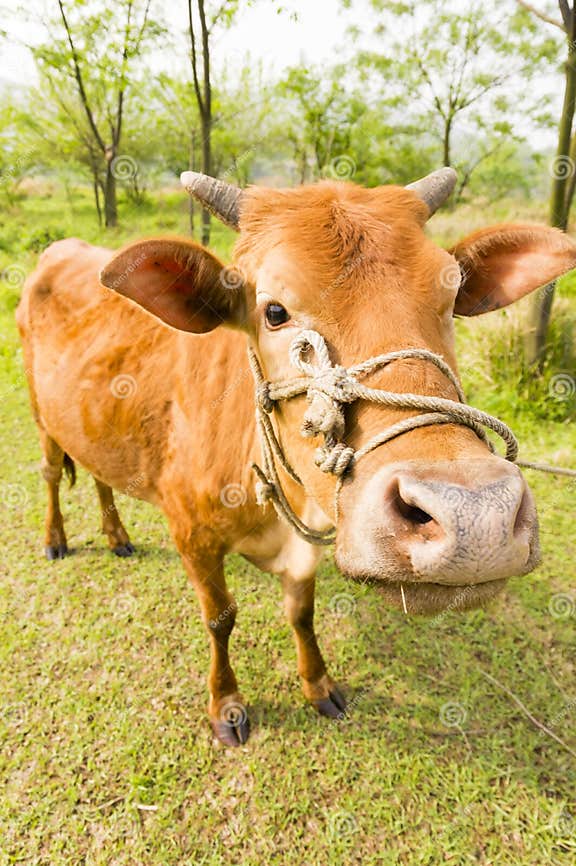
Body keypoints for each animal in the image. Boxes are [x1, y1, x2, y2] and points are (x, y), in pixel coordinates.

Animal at [16, 168, 576, 746]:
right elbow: (220, 618)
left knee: (100, 475)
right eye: (274, 312)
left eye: (451, 295)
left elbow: (302, 612)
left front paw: (318, 684)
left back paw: (117, 535)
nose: (475, 516)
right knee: (52, 474)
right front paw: (226, 705)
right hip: (41, 414)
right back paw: (56, 539)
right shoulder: (191, 532)